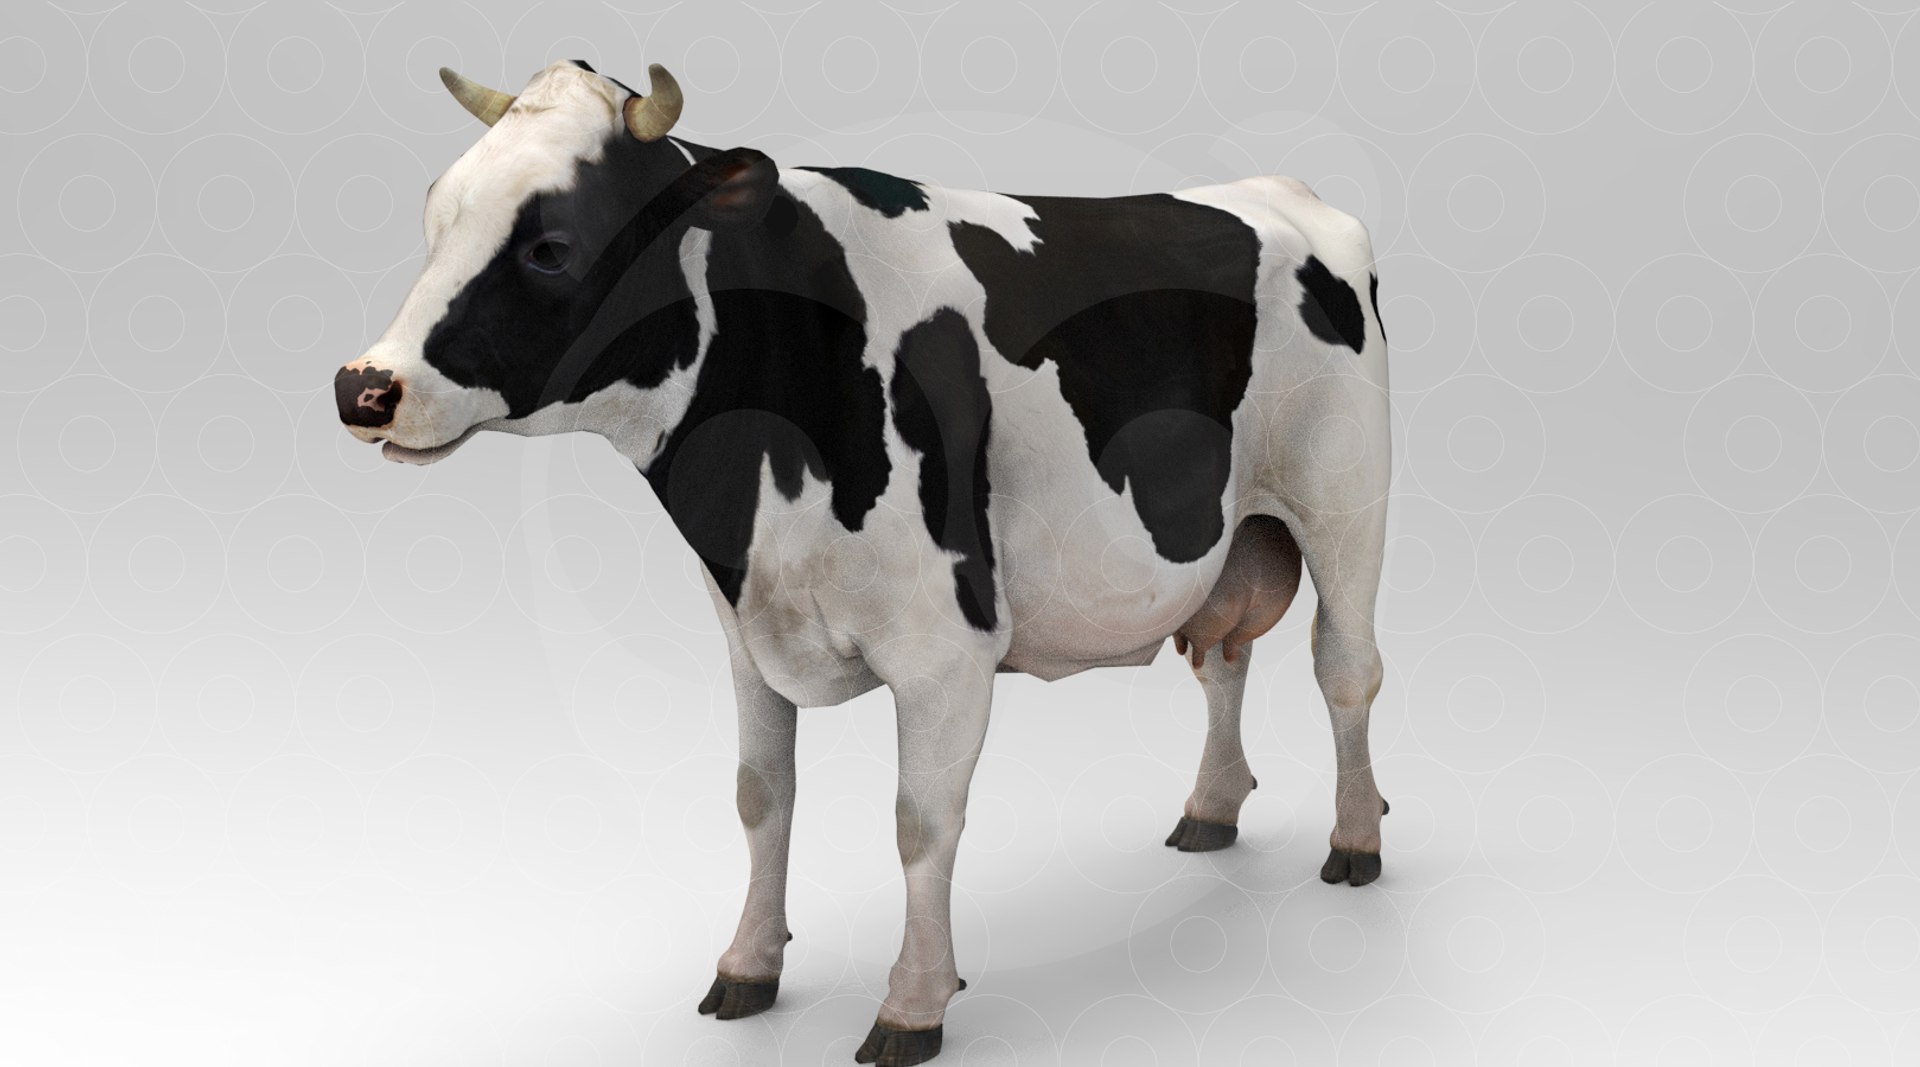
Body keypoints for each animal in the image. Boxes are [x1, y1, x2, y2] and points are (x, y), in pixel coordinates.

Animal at [334, 59, 1392, 1065]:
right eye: (436, 215)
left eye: (552, 245)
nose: (363, 387)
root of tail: (1278, 189)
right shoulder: (746, 630)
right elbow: (762, 796)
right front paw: (748, 965)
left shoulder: (947, 649)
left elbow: (921, 820)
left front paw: (913, 1005)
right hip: (1229, 534)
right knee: (1223, 652)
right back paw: (1211, 810)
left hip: (1346, 502)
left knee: (1345, 668)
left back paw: (1356, 838)